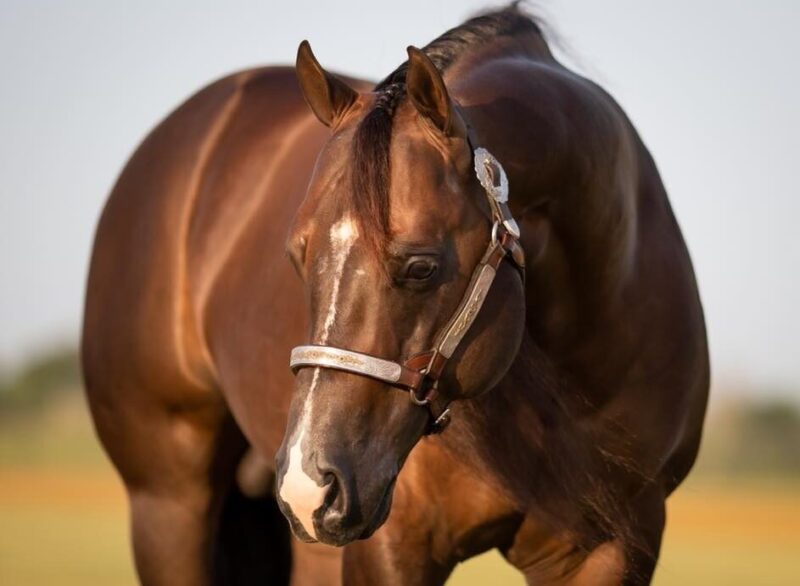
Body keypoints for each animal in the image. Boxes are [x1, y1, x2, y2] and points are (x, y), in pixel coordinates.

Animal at [82, 5, 709, 585]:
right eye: (297, 258)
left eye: (421, 266)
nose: (310, 485)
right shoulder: (391, 548)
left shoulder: (611, 550)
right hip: (169, 505)